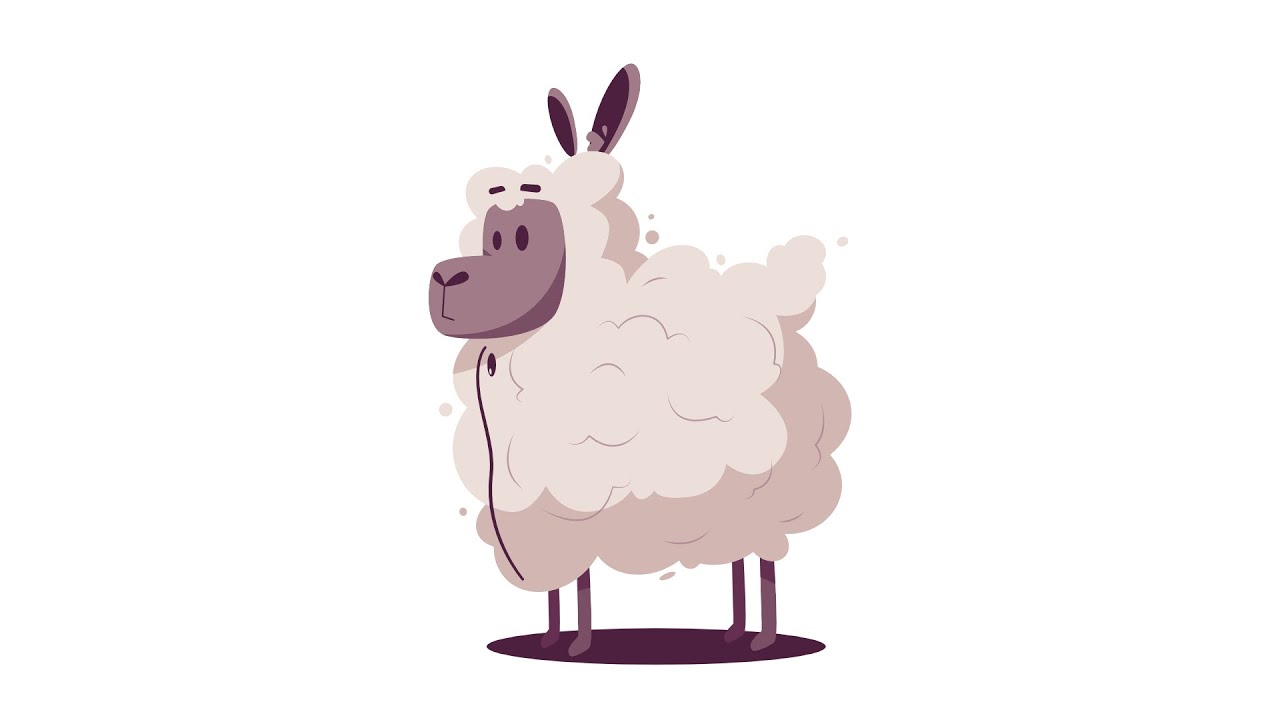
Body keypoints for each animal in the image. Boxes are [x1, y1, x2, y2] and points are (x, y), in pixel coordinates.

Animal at [429, 65, 850, 658]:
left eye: (520, 237)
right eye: (491, 237)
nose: (444, 278)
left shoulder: (577, 498)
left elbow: (580, 581)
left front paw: (578, 645)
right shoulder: (543, 514)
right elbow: (561, 584)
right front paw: (553, 639)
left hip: (765, 494)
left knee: (761, 560)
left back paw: (760, 638)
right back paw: (733, 631)